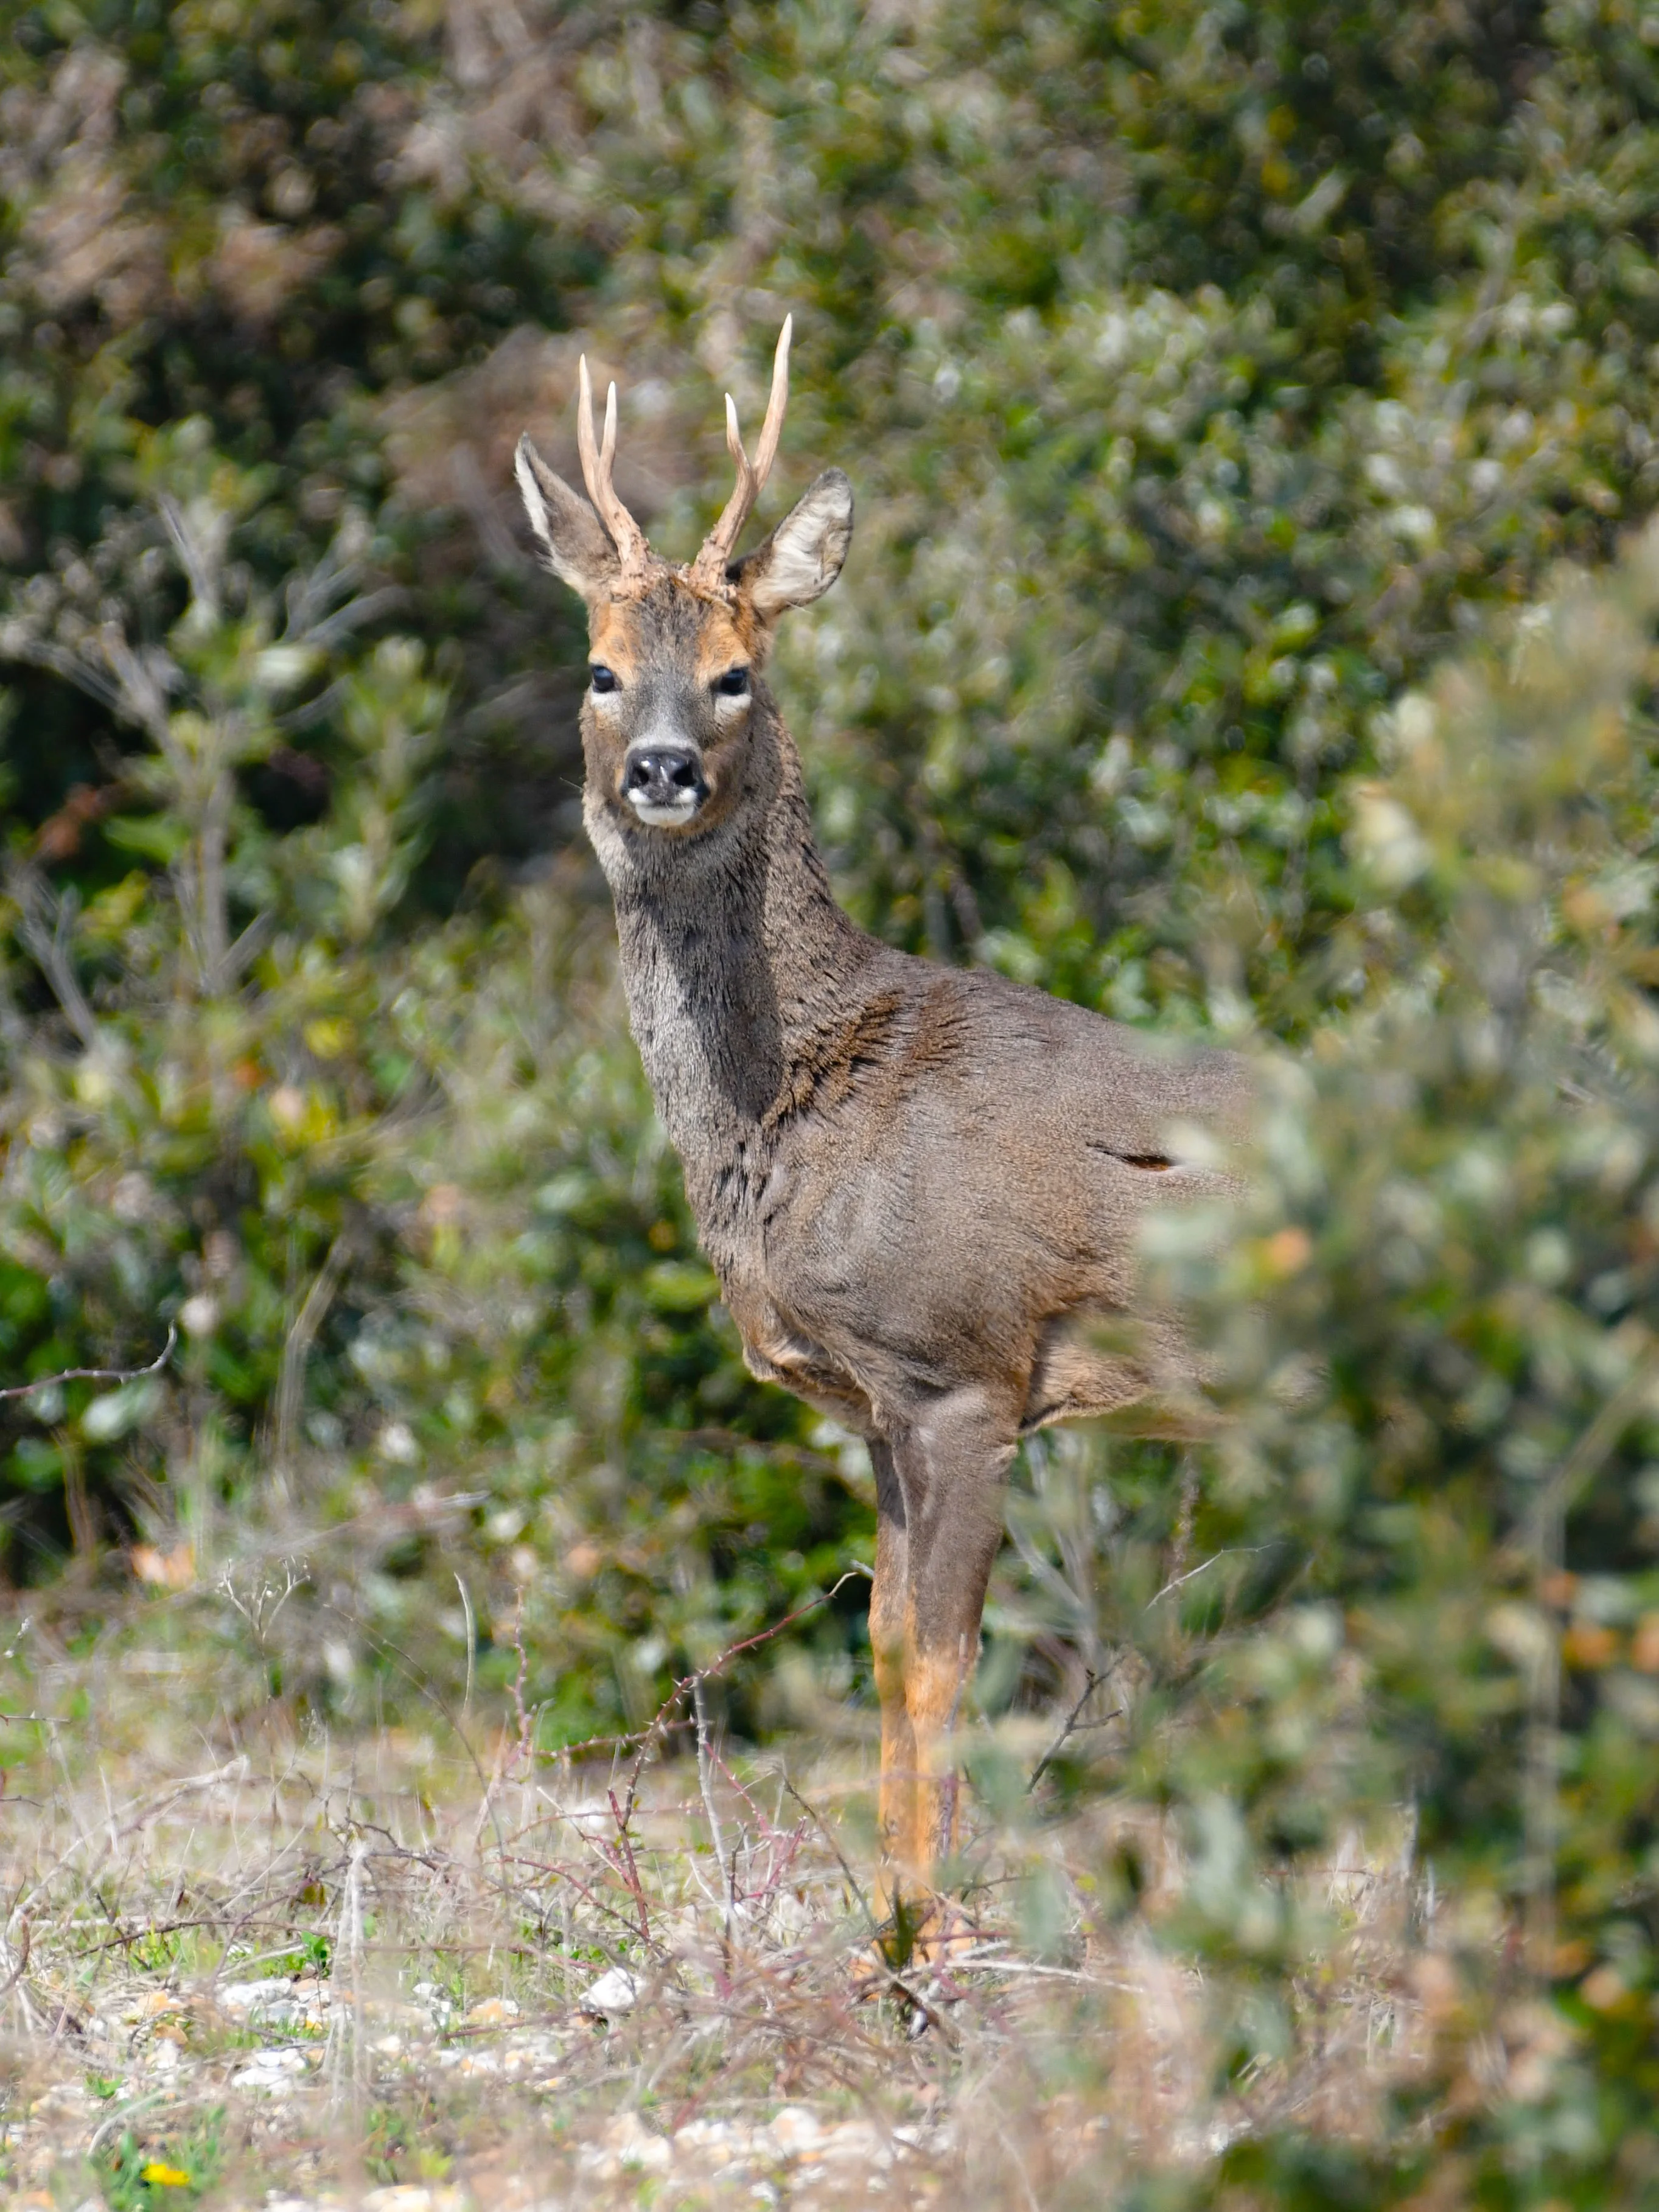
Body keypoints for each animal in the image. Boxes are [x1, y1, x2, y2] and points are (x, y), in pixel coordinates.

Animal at [514, 320, 1250, 1922]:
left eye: (736, 675)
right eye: (601, 668)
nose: (661, 768)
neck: (798, 1110)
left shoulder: (966, 1363)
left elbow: (943, 1670)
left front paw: (932, 1936)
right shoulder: (871, 1400)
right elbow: (880, 1649)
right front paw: (881, 1933)